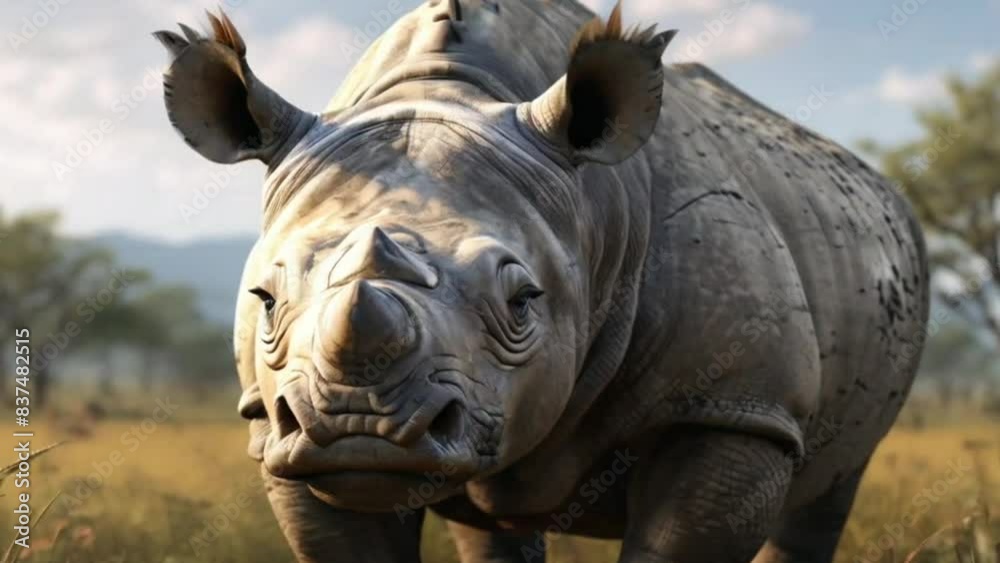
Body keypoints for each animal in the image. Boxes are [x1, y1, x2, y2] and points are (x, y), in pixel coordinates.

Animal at [154, 1, 929, 562]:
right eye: (265, 302)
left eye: (523, 302)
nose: (354, 426)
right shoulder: (277, 428)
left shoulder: (733, 405)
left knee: (829, 490)